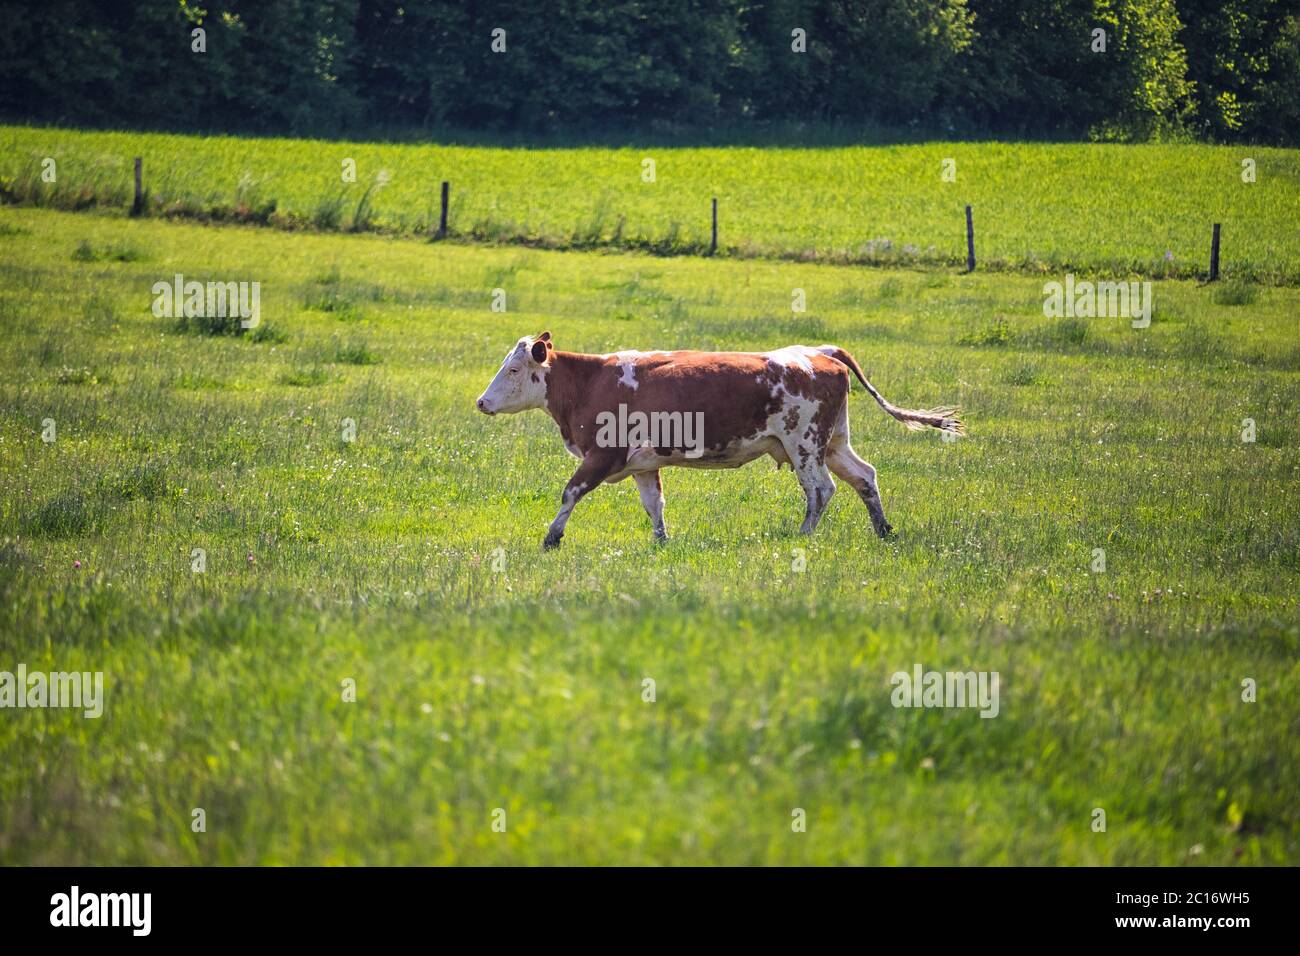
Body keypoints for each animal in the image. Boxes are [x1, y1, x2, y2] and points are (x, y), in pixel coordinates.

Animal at [475, 332, 963, 549]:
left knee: (820, 490)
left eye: (514, 369)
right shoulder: (643, 464)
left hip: (805, 444)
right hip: (833, 443)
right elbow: (654, 504)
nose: (482, 402)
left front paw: (552, 537)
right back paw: (884, 530)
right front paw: (661, 542)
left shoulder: (602, 454)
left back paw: (802, 534)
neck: (591, 381)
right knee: (864, 477)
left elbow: (570, 492)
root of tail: (817, 352)